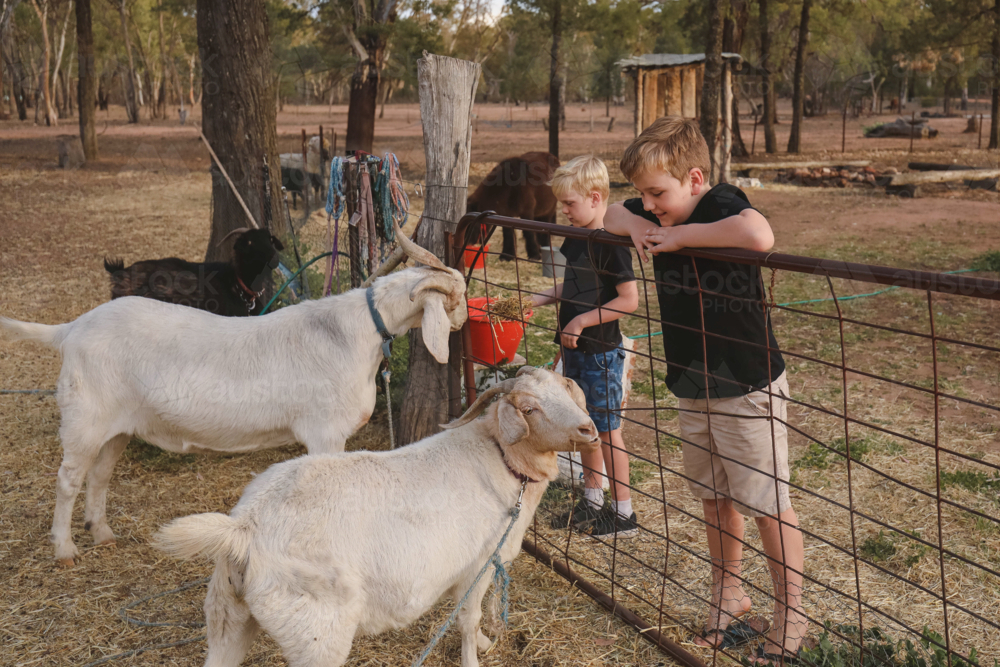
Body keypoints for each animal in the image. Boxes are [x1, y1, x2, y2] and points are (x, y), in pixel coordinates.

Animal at [154, 367, 599, 667]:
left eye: (565, 389)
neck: (502, 459)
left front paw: (486, 644)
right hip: (316, 633)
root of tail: (245, 528)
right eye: (530, 408)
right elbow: (467, 618)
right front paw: (476, 655)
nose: (588, 429)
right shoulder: (478, 565)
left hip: (226, 614)